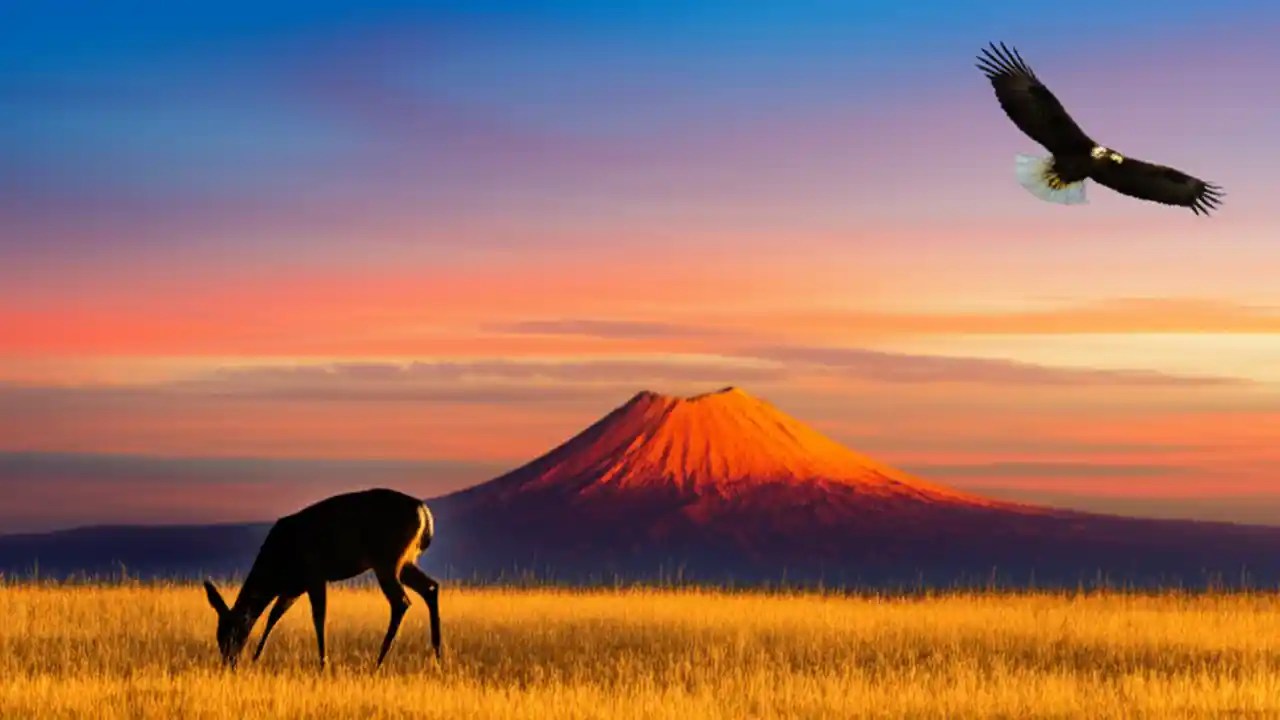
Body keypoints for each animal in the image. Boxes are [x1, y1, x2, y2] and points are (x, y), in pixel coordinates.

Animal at [202, 488, 441, 669]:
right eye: (218, 635)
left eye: (233, 633)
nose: (229, 663)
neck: (277, 566)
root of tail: (424, 512)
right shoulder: (294, 586)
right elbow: (274, 615)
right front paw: (256, 657)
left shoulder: (314, 574)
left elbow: (318, 617)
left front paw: (323, 663)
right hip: (405, 561)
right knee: (430, 587)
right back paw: (438, 655)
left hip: (387, 560)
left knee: (401, 601)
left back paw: (378, 661)